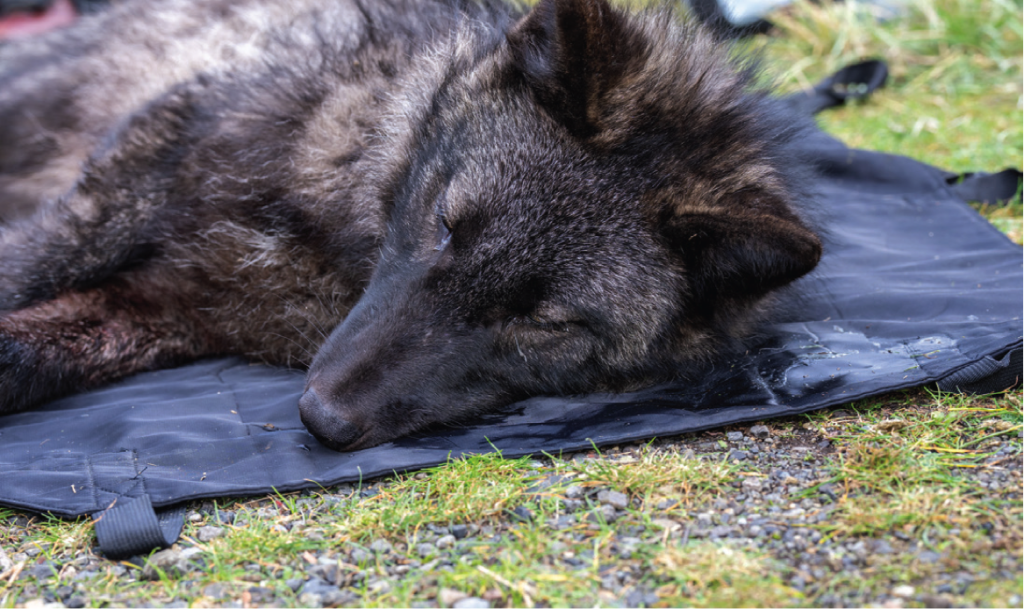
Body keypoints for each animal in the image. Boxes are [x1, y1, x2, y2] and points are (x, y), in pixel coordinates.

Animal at [0, 0, 822, 450]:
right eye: (449, 223)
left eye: (544, 322)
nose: (320, 419)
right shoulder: (133, 174)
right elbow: (24, 269)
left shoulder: (171, 308)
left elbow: (27, 353)